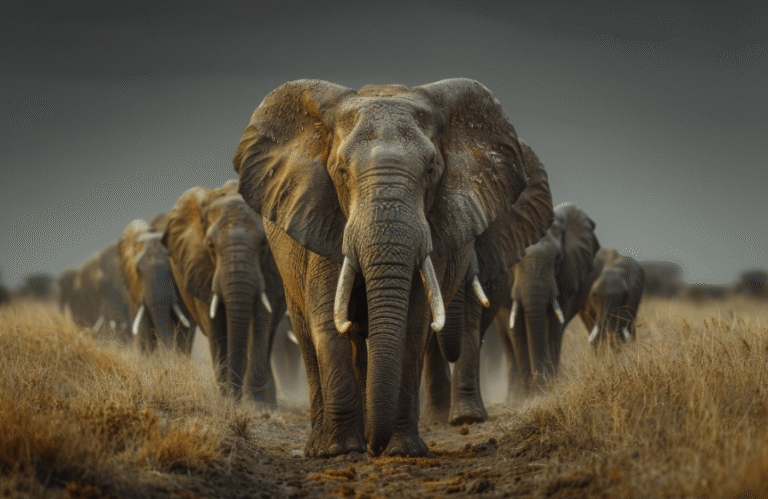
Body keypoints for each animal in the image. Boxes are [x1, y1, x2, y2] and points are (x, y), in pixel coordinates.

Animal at [162, 180, 286, 405]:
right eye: (210, 246)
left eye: (264, 245)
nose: (234, 397)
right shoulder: (200, 267)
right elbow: (215, 324)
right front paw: (227, 400)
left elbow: (262, 320)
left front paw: (257, 405)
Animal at [233, 78, 554, 457]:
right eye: (341, 171)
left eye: (431, 171)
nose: (375, 446)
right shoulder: (323, 217)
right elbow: (328, 322)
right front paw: (342, 450)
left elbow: (413, 327)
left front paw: (403, 451)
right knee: (311, 336)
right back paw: (323, 446)